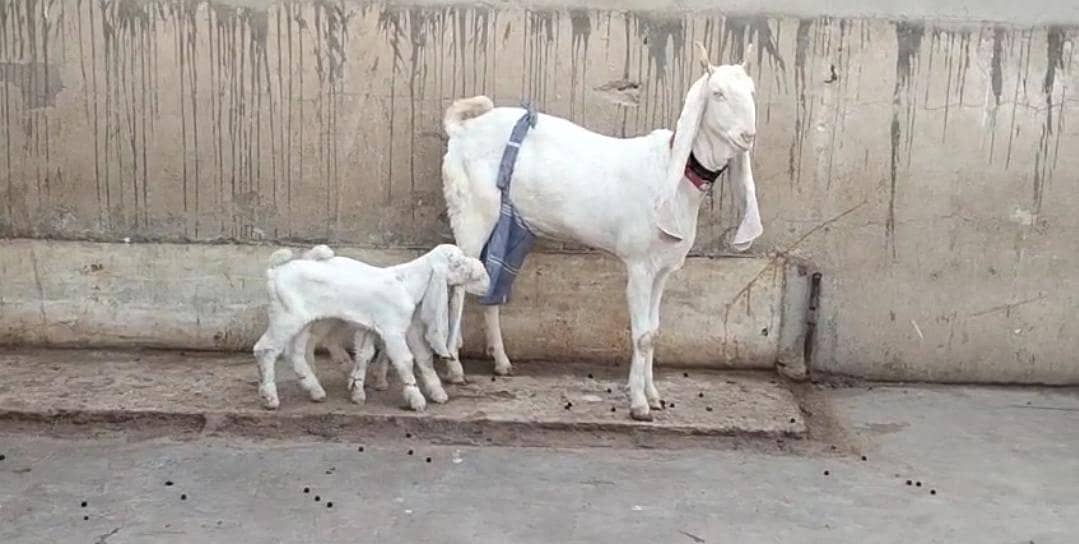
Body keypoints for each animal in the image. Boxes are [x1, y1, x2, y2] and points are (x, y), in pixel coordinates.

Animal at [252, 244, 490, 411]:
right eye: (457, 263)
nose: (484, 276)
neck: (407, 282)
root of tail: (274, 271)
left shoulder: (388, 327)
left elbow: (418, 357)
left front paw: (437, 393)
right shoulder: (393, 329)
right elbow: (405, 360)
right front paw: (416, 399)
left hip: (303, 322)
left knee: (296, 353)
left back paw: (315, 391)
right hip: (285, 317)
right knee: (265, 349)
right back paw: (270, 398)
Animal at [440, 43, 763, 420]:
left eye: (752, 91)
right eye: (717, 94)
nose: (747, 136)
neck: (671, 174)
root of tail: (461, 129)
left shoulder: (663, 268)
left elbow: (654, 332)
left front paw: (654, 396)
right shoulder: (639, 264)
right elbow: (641, 336)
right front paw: (639, 404)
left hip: (509, 222)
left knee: (490, 278)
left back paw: (501, 362)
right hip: (471, 210)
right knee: (457, 286)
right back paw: (455, 368)